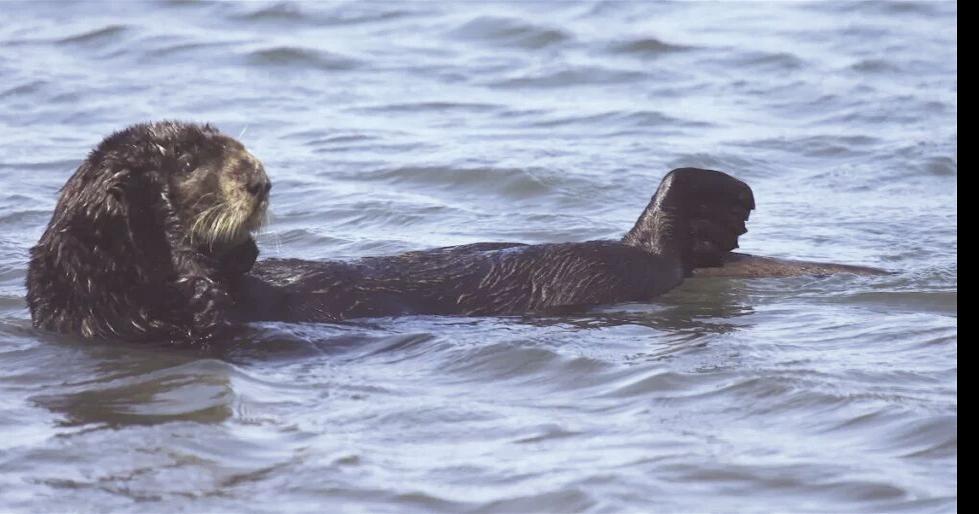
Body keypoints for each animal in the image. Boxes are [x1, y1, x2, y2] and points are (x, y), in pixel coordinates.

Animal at [26, 121, 886, 344]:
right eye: (194, 163)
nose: (260, 179)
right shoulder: (149, 309)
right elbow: (181, 288)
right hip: (620, 266)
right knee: (655, 250)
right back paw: (707, 200)